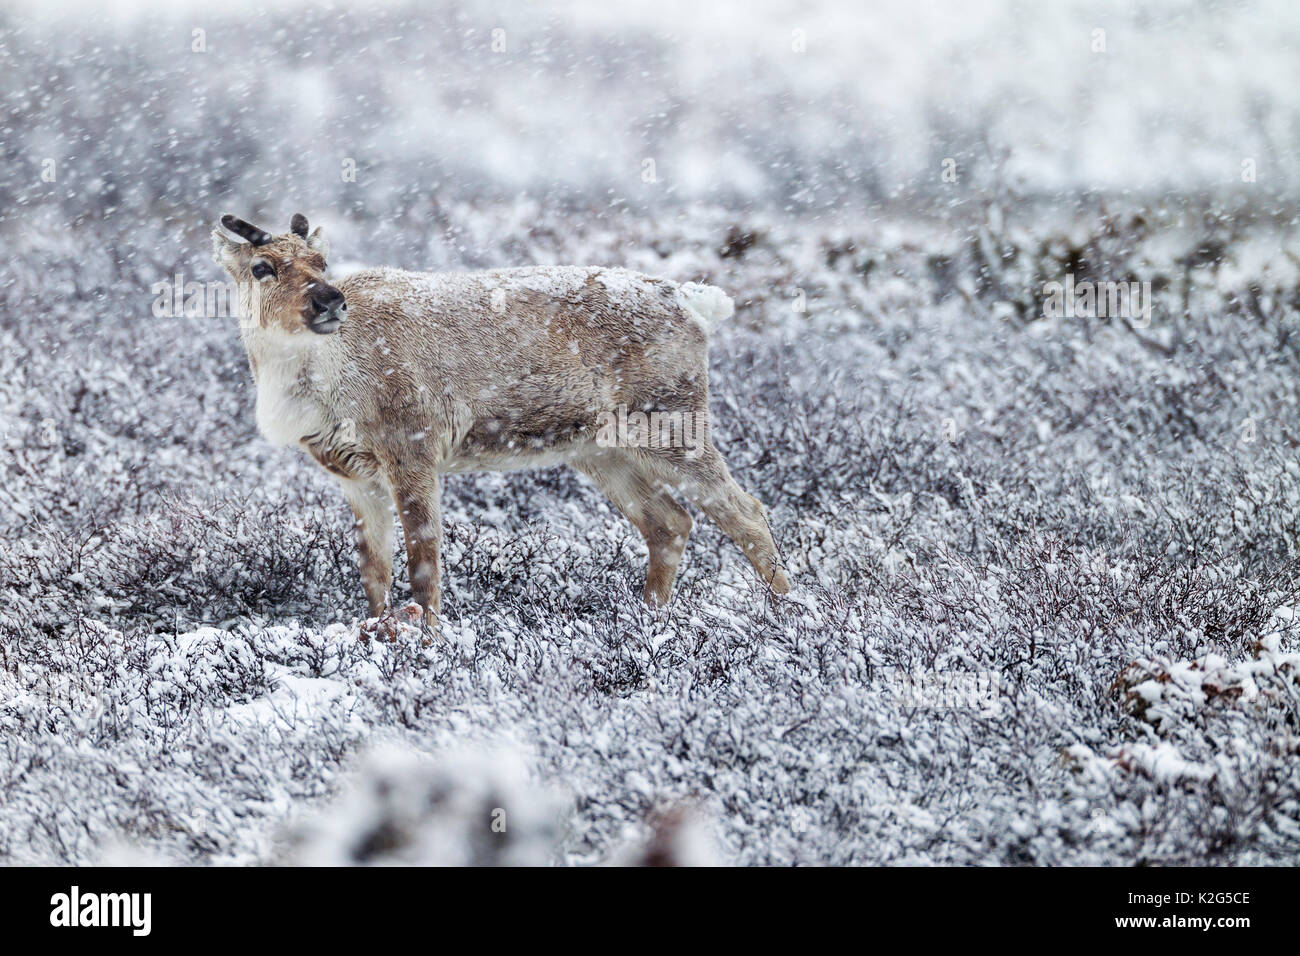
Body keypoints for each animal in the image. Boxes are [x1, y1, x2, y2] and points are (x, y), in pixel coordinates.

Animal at [212, 213, 791, 625]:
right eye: (262, 268)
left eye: (321, 262)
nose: (330, 301)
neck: (323, 384)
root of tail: (694, 300)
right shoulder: (355, 477)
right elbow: (375, 572)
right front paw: (375, 632)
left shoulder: (412, 450)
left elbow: (424, 562)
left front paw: (428, 638)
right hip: (601, 451)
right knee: (670, 523)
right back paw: (650, 619)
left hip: (673, 422)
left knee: (746, 511)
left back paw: (791, 615)